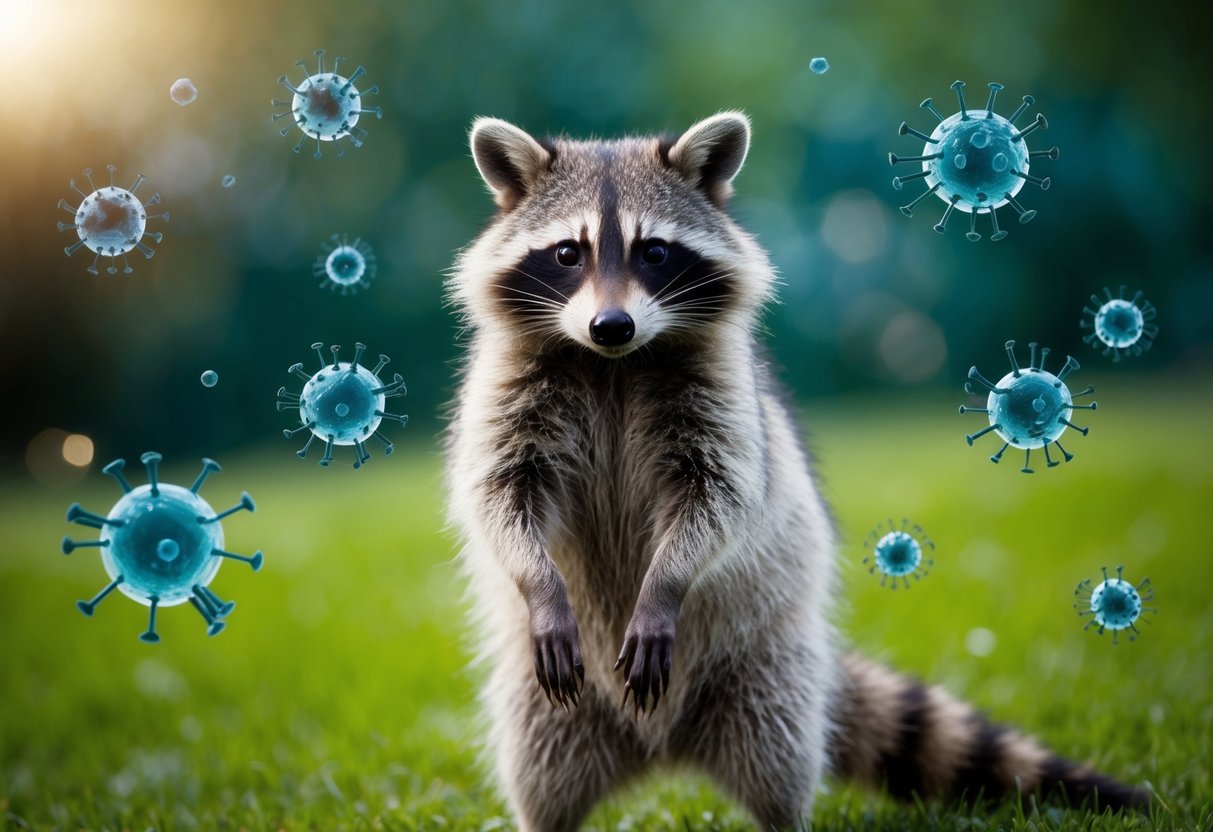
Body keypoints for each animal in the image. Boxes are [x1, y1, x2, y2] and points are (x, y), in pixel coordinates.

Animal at [444, 112, 1147, 831]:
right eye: (567, 253)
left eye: (654, 253)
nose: (611, 324)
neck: (611, 363)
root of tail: (661, 745)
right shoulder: (507, 390)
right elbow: (498, 492)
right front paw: (538, 582)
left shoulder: (723, 394)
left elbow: (720, 495)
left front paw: (665, 583)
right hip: (544, 696)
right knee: (540, 764)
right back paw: (544, 815)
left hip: (767, 662)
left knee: (775, 745)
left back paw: (782, 810)